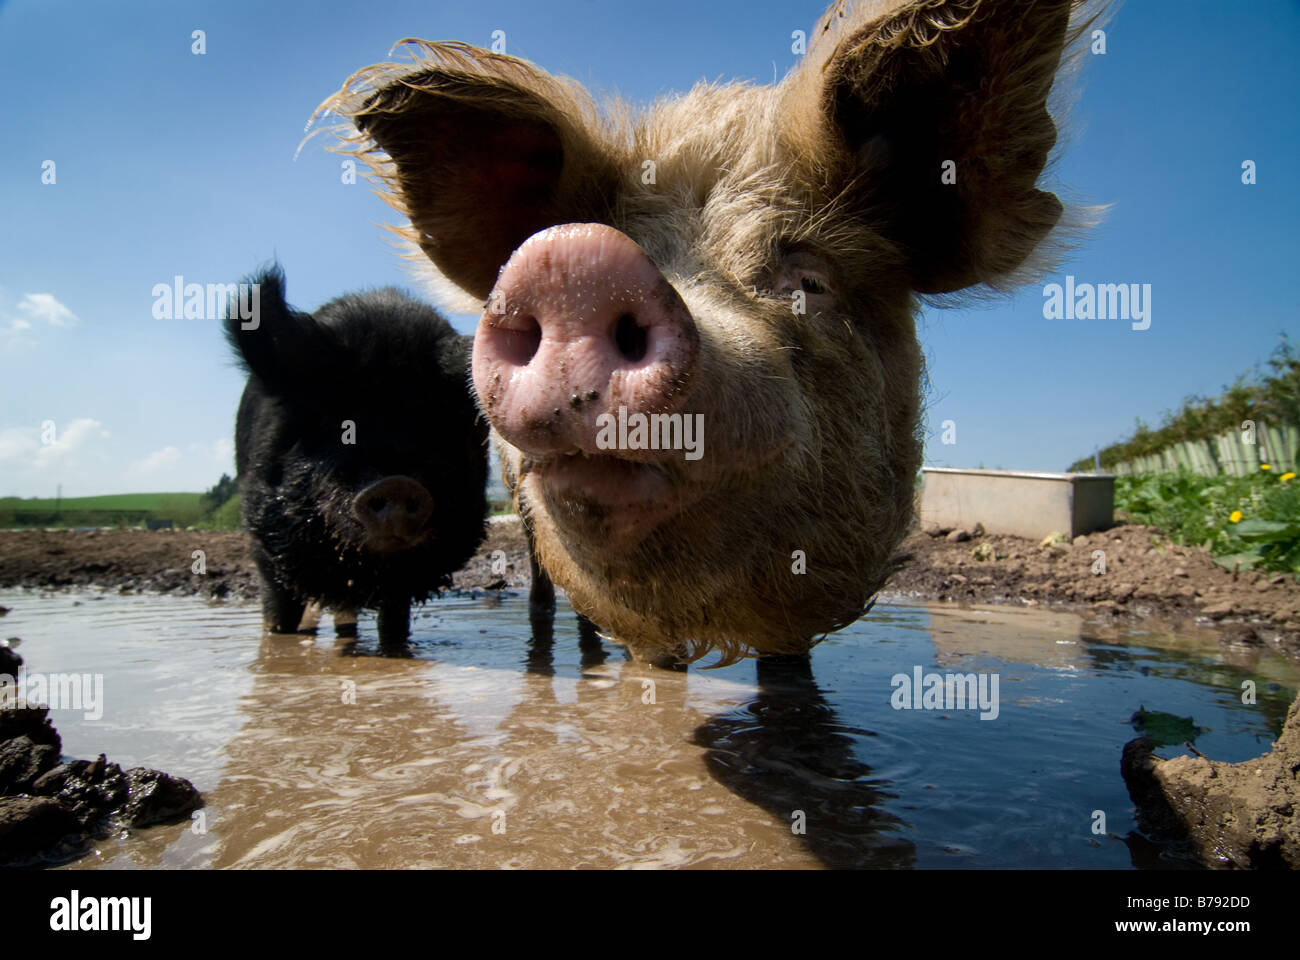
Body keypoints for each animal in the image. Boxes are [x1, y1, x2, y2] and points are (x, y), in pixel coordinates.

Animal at [224, 266, 489, 644]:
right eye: (329, 414)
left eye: (435, 420)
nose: (396, 482)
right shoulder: (266, 548)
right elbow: (278, 618)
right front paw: (279, 639)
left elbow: (394, 624)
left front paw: (395, 648)